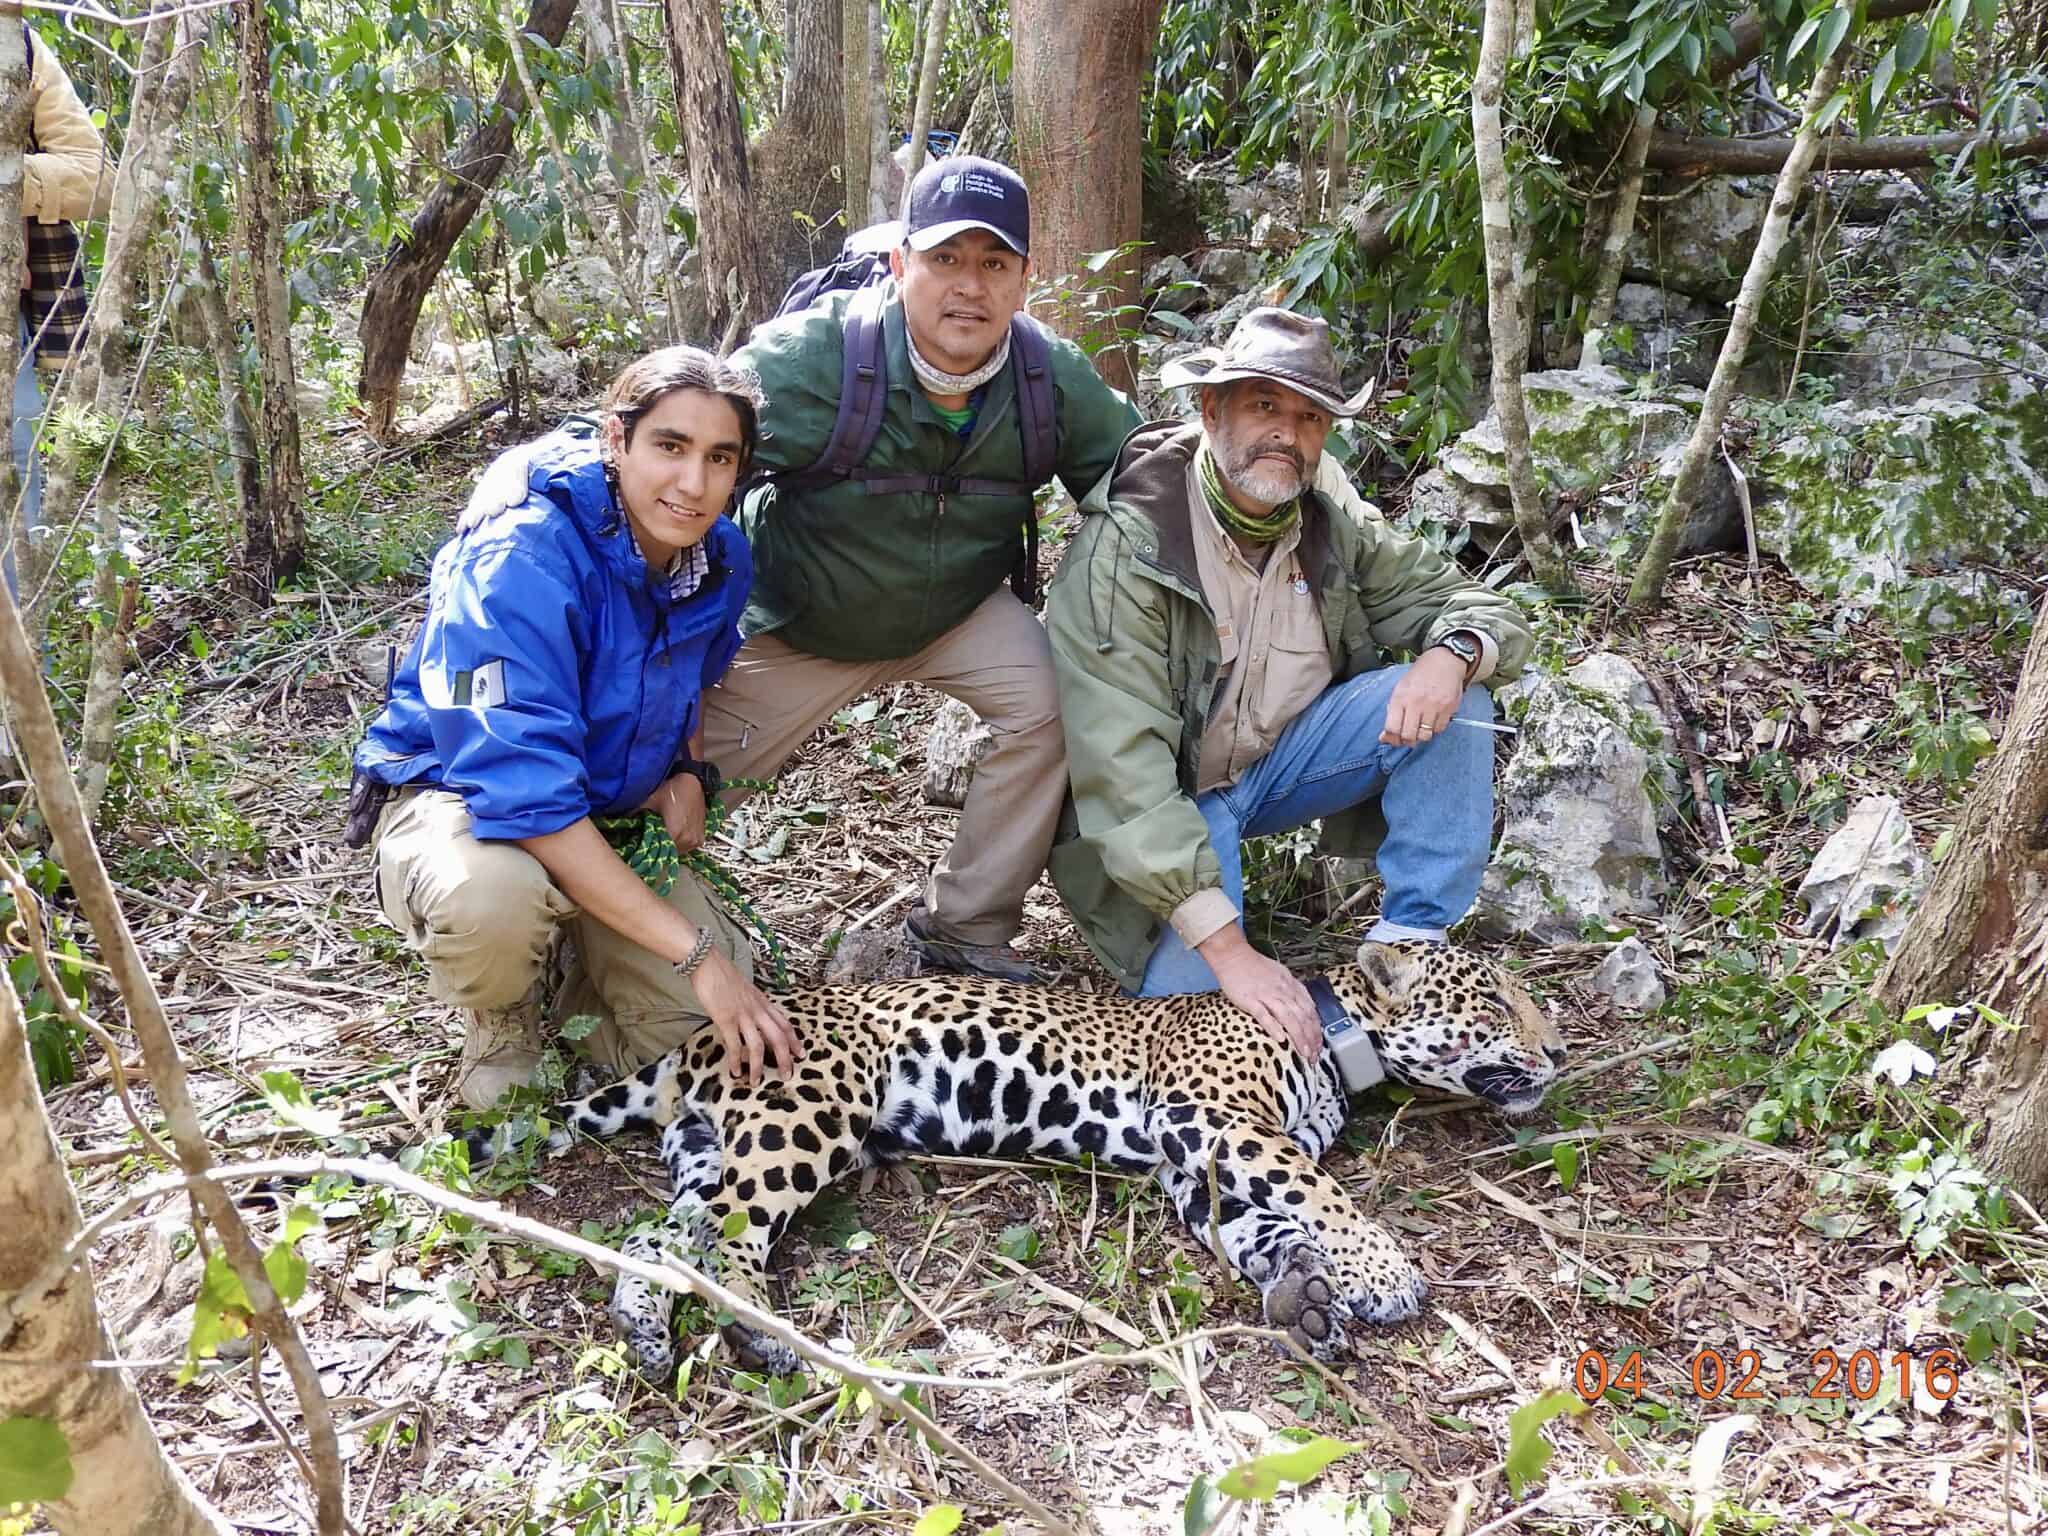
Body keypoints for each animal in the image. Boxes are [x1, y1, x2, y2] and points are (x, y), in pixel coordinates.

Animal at [478, 940, 1565, 1383]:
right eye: (1497, 1000)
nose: (1558, 1050)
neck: (1338, 1035)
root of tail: (700, 1038)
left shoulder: (1193, 1159)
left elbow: (1257, 1220)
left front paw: (1299, 1288)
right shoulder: (1209, 1111)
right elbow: (1317, 1188)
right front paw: (1380, 1270)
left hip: (716, 1145)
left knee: (664, 1235)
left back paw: (649, 1335)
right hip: (813, 1109)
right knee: (729, 1238)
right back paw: (764, 1333)